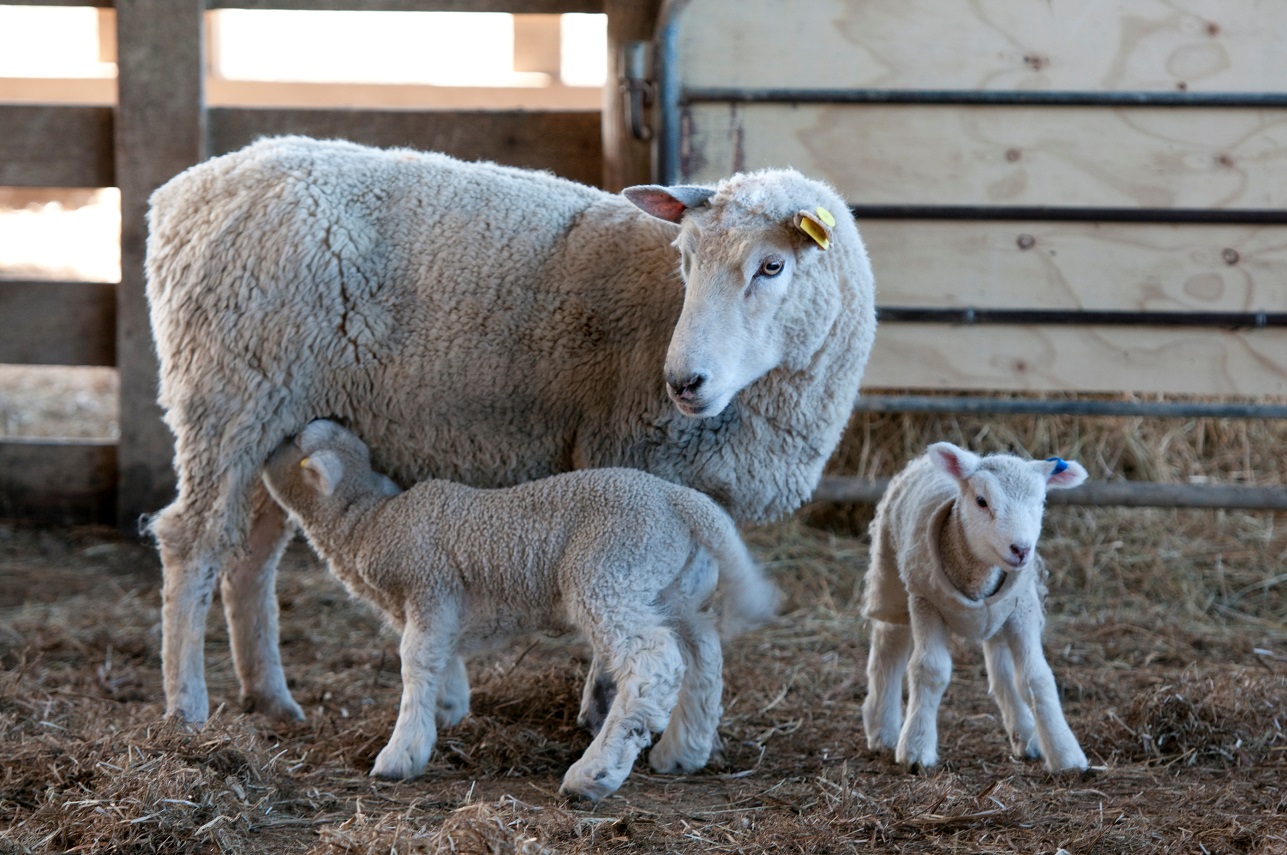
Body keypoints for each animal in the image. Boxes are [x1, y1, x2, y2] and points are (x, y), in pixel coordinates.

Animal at [145, 135, 876, 725]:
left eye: (772, 265)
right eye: (685, 258)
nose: (682, 382)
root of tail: (185, 194)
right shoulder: (631, 459)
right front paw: (601, 705)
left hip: (277, 417)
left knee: (250, 555)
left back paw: (270, 698)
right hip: (227, 397)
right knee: (194, 541)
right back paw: (186, 706)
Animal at [260, 418, 779, 803]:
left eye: (294, 441)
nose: (266, 446)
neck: (367, 520)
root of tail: (679, 499)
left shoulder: (429, 584)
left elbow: (416, 661)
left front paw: (400, 753)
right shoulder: (436, 606)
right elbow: (439, 658)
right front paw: (447, 710)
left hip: (609, 572)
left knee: (653, 663)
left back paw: (594, 774)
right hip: (672, 589)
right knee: (704, 653)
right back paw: (683, 752)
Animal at [860, 442, 1089, 773]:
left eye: (1042, 501)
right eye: (982, 501)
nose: (1021, 549)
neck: (977, 575)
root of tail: (920, 461)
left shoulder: (1022, 607)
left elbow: (1036, 677)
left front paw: (1065, 753)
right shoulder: (925, 601)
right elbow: (930, 669)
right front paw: (916, 748)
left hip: (998, 619)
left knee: (1002, 671)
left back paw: (1026, 735)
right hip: (889, 572)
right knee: (888, 646)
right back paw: (883, 730)